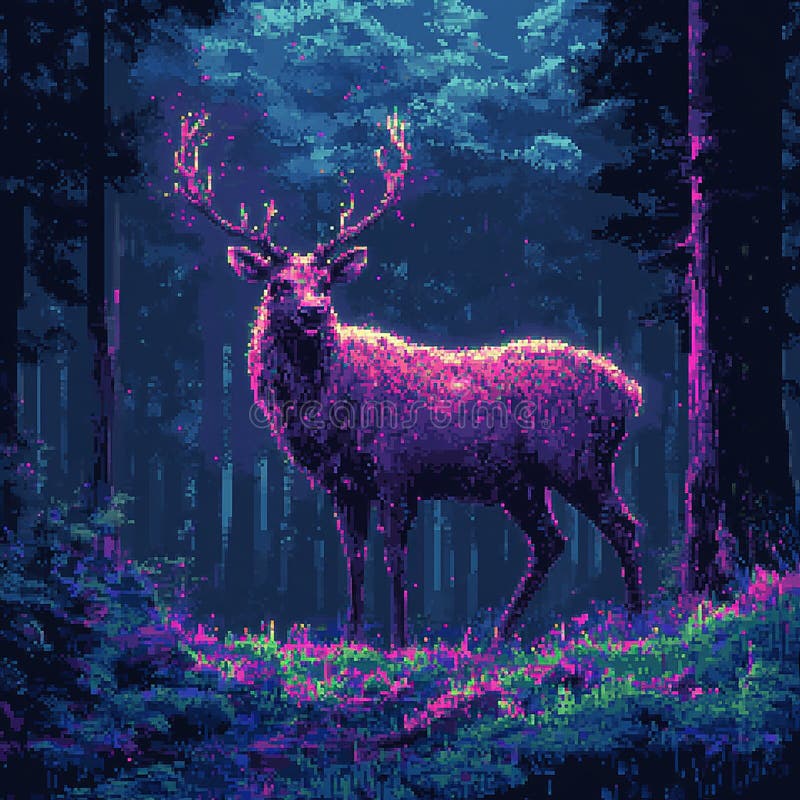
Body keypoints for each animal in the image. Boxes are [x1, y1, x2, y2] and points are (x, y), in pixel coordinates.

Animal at [174, 109, 644, 649]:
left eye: (325, 282)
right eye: (279, 284)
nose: (314, 312)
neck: (331, 416)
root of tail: (630, 392)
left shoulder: (396, 471)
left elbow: (395, 561)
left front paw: (400, 643)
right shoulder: (344, 485)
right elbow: (353, 562)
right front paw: (353, 639)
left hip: (579, 461)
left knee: (623, 526)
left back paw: (637, 623)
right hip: (522, 482)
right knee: (551, 540)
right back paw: (495, 637)